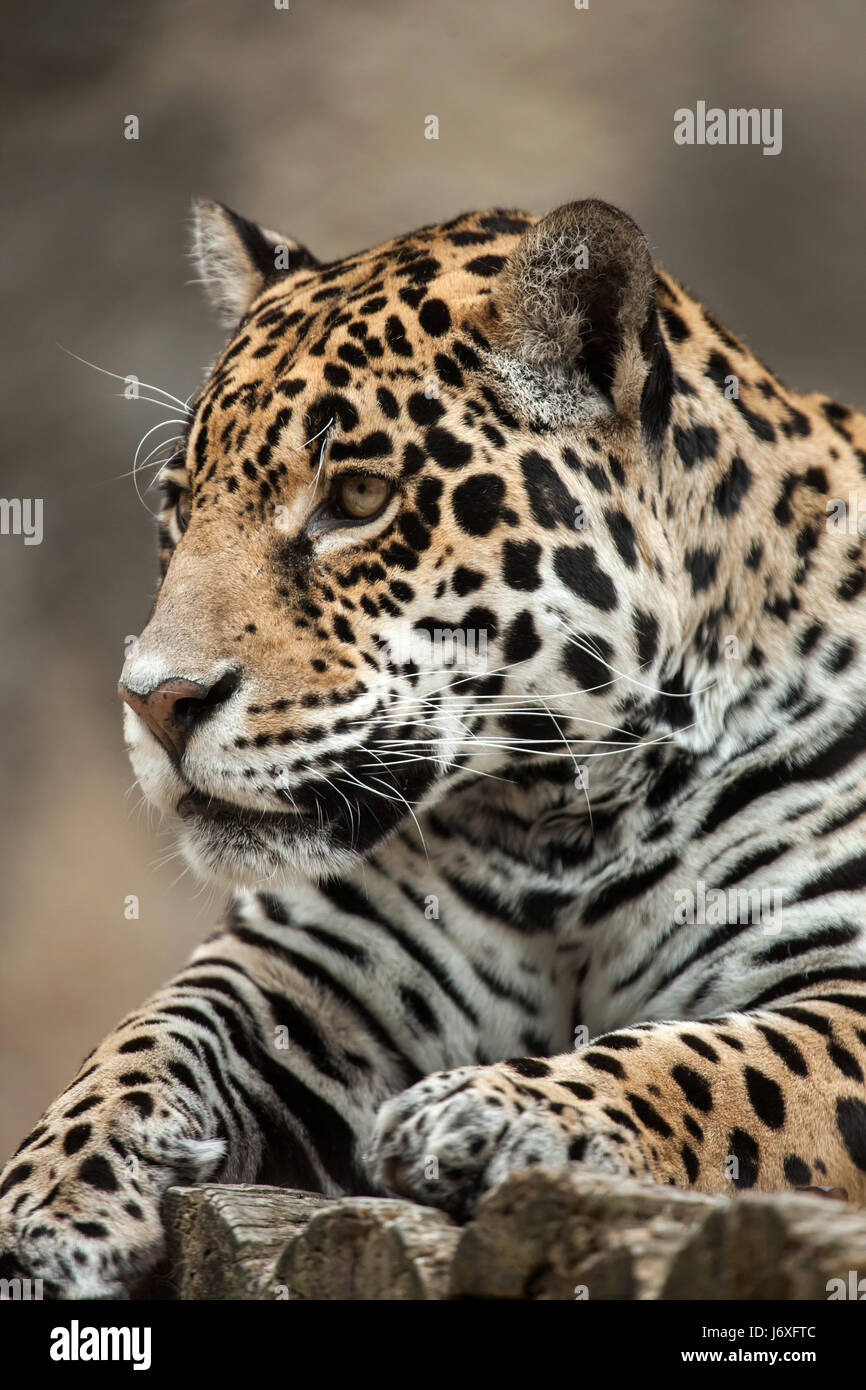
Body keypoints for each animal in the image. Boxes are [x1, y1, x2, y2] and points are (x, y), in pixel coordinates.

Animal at [3, 195, 866, 1299]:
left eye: (359, 501)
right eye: (180, 506)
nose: (155, 701)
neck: (553, 821)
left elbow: (720, 1063)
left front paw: (491, 1113)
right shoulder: (311, 965)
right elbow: (147, 1037)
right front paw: (47, 1201)